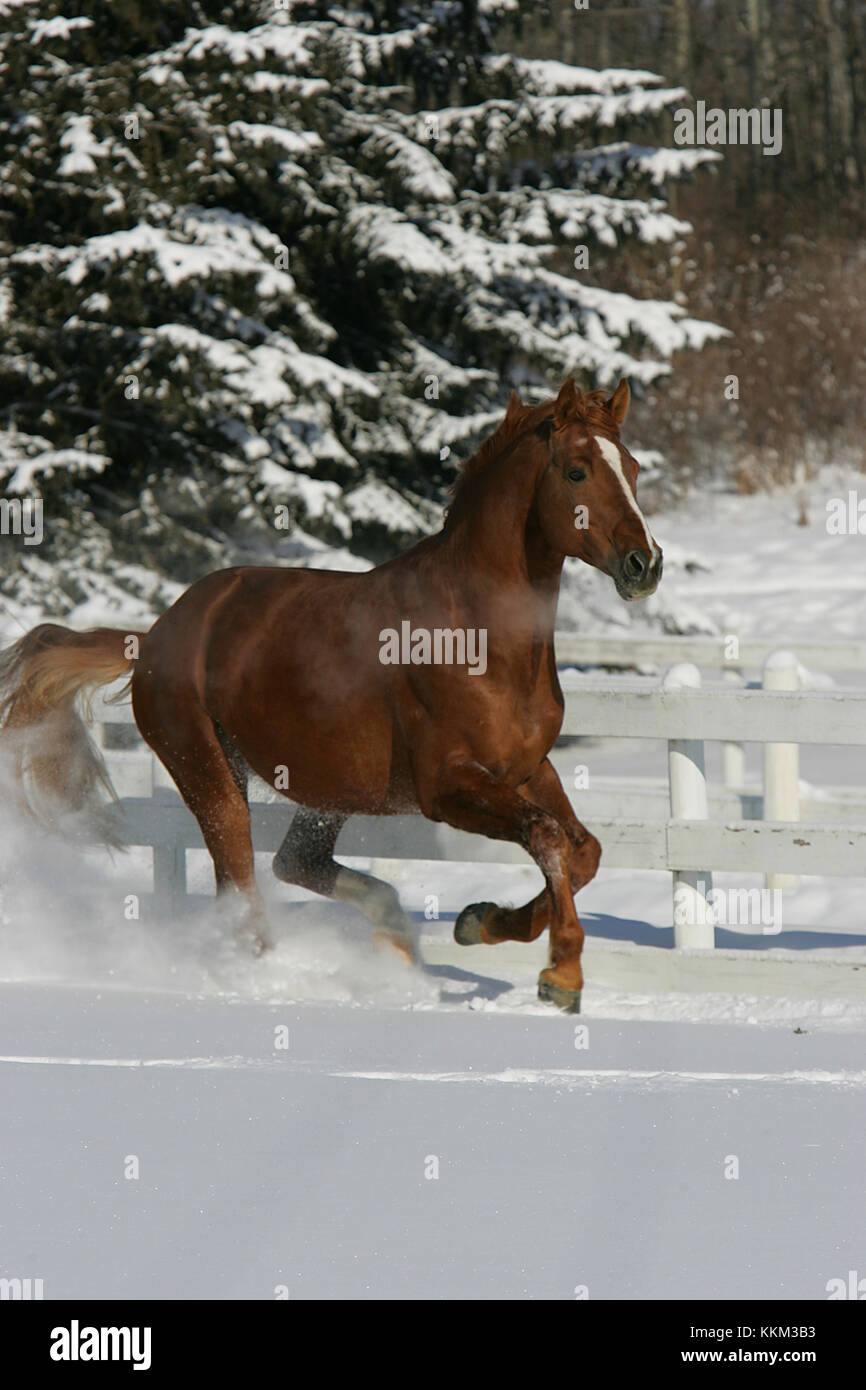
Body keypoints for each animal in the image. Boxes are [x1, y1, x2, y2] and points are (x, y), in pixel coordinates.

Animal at [0, 377, 661, 1011]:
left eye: (631, 468)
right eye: (577, 471)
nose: (645, 564)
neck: (478, 637)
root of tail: (156, 634)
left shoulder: (527, 769)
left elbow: (584, 850)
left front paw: (479, 923)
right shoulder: (446, 786)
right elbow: (547, 838)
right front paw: (562, 975)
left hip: (328, 783)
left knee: (295, 861)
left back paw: (391, 937)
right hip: (210, 773)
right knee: (241, 881)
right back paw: (267, 976)